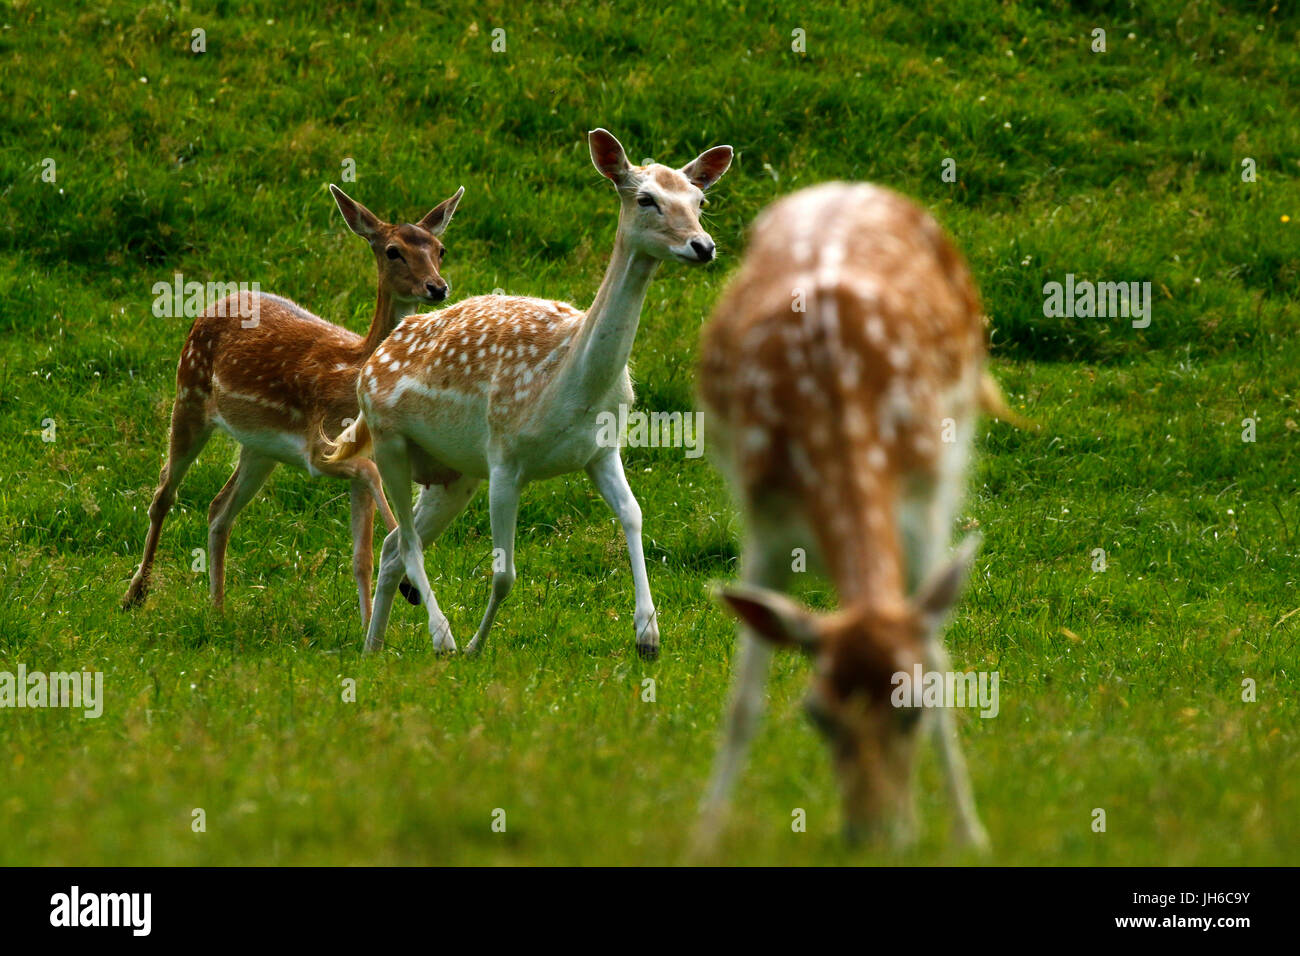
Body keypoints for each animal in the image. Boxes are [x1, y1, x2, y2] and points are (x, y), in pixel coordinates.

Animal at [122, 183, 465, 625]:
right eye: (393, 251)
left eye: (440, 249)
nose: (437, 287)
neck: (349, 372)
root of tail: (213, 305)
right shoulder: (317, 448)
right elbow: (370, 480)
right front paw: (409, 583)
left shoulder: (351, 461)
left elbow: (361, 557)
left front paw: (371, 623)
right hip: (189, 394)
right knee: (164, 492)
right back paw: (136, 594)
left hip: (259, 448)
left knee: (219, 508)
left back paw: (218, 609)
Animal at [324, 129, 733, 660]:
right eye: (646, 199)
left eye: (700, 201)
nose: (703, 246)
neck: (570, 387)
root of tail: (372, 360)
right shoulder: (504, 456)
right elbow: (504, 573)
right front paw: (475, 647)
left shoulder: (602, 450)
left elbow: (635, 516)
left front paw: (648, 635)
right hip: (390, 441)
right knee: (407, 543)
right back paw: (443, 638)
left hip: (452, 474)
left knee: (395, 546)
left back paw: (372, 649)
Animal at [692, 182, 1010, 854]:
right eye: (816, 714)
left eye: (913, 709)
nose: (873, 834)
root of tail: (844, 187)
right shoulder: (764, 519)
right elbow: (743, 702)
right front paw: (703, 837)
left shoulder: (923, 510)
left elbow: (941, 661)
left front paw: (970, 835)